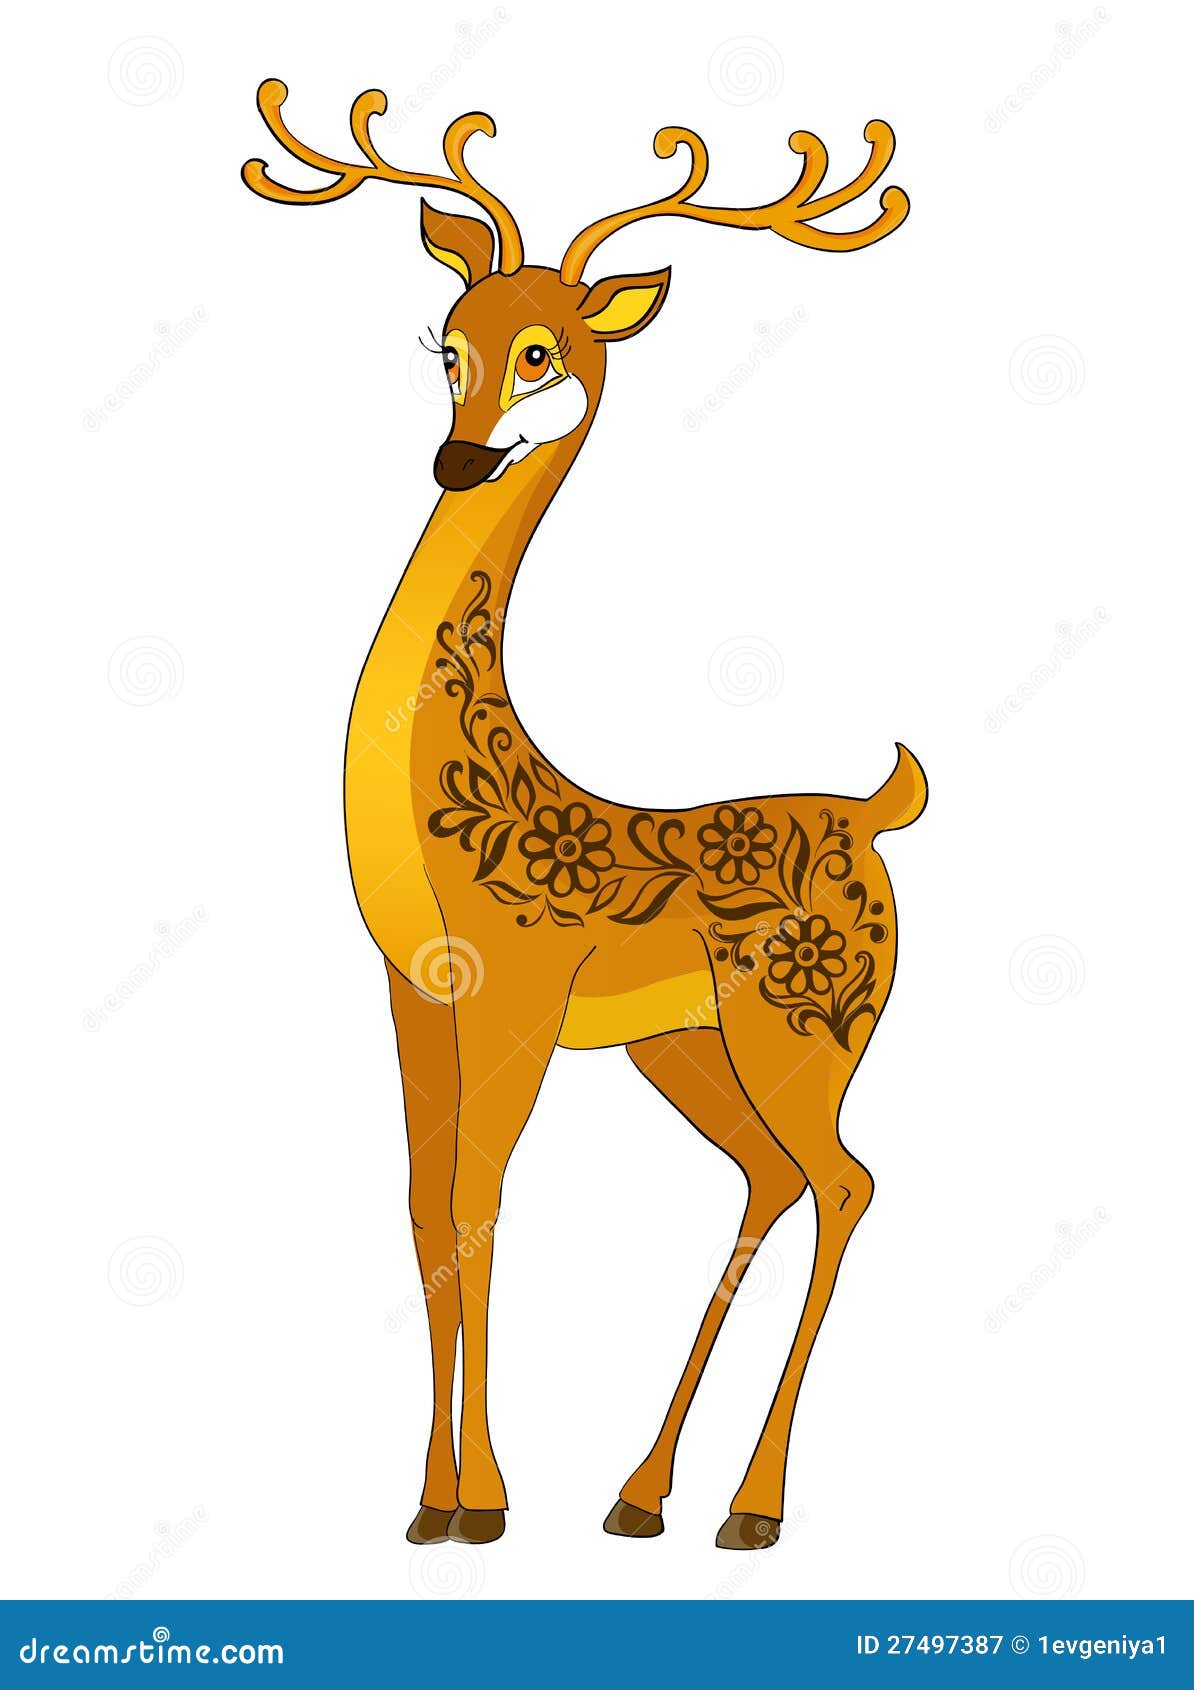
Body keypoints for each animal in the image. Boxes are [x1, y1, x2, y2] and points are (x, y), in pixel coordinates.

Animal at [243, 79, 926, 1552]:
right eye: (447, 345)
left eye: (546, 351)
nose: (456, 457)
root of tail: (876, 809)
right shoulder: (414, 988)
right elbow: (420, 1209)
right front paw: (425, 1501)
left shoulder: (514, 984)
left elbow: (479, 1203)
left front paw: (484, 1503)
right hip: (687, 1046)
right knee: (773, 1177)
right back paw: (639, 1493)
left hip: (807, 1024)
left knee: (845, 1180)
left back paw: (749, 1509)